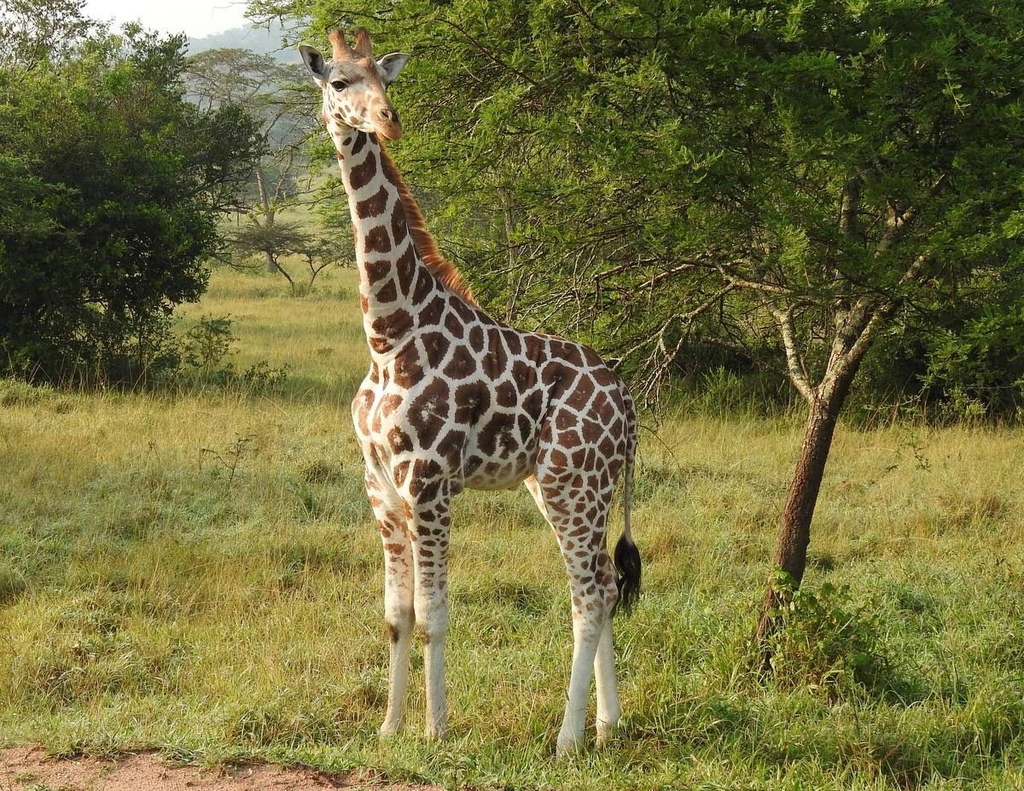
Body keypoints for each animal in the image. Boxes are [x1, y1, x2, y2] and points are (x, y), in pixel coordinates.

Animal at [300, 28, 641, 756]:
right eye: (340, 81)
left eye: (386, 78)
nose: (388, 120)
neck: (388, 333)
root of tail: (627, 403)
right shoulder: (380, 485)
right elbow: (396, 614)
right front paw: (389, 726)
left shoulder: (429, 481)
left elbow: (434, 613)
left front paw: (434, 729)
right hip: (567, 484)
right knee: (602, 582)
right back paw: (607, 723)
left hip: (573, 484)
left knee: (587, 595)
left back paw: (569, 737)